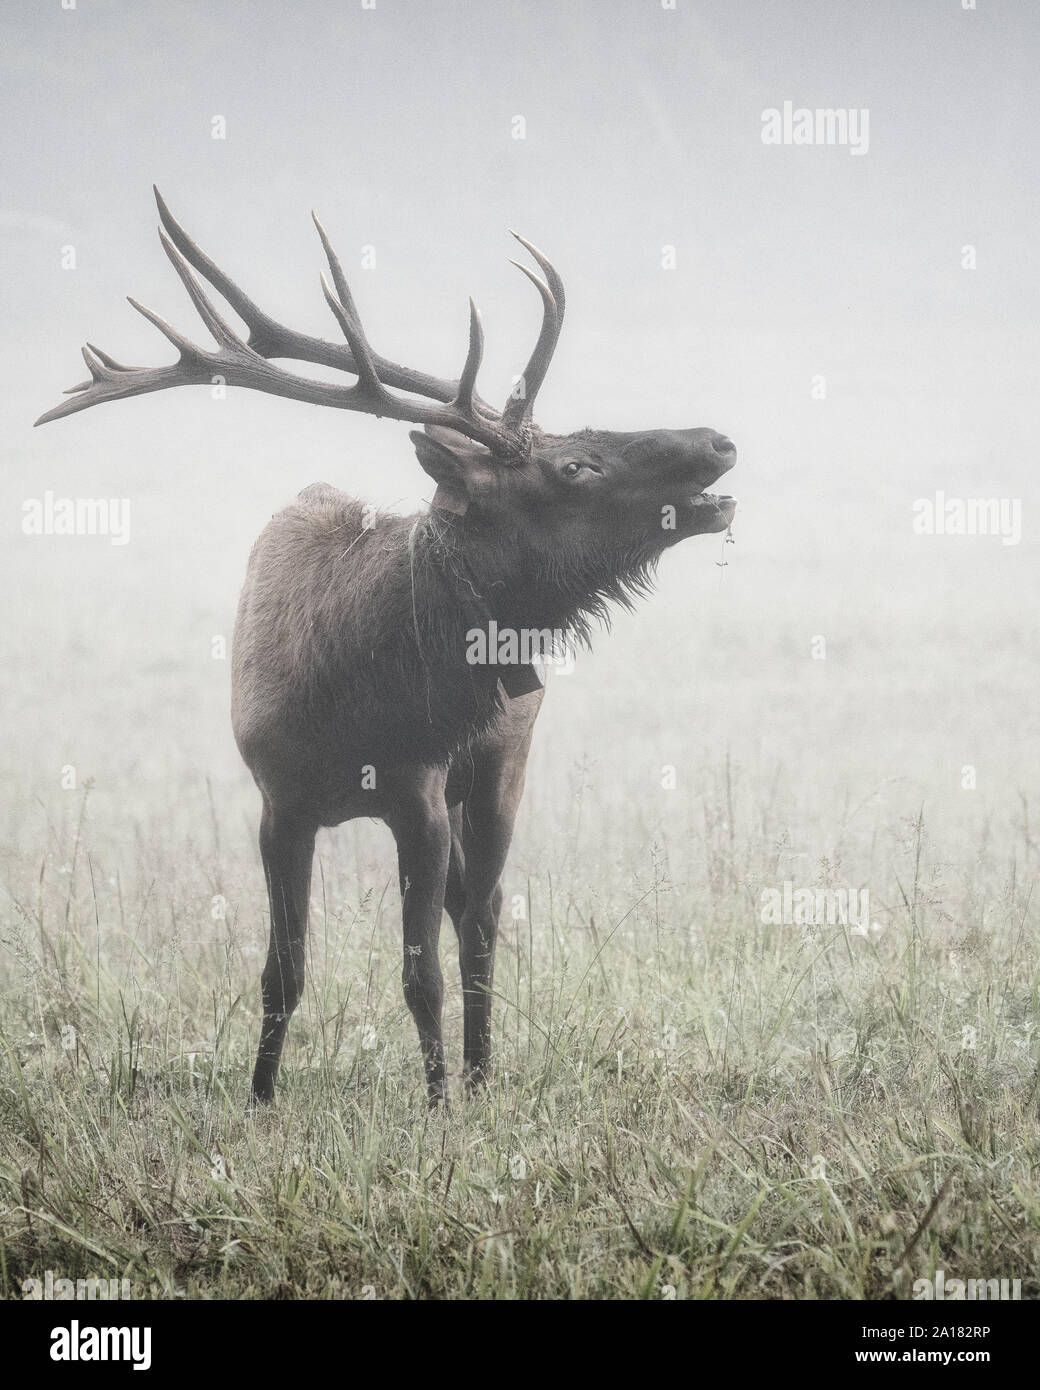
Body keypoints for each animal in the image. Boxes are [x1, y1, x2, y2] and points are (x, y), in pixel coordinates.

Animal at [36, 188, 737, 1106]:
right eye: (574, 465)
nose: (720, 442)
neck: (353, 701)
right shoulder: (279, 802)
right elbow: (282, 970)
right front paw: (260, 1096)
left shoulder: (419, 792)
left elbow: (421, 972)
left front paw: (438, 1102)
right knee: (469, 909)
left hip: (502, 762)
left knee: (483, 915)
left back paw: (478, 1075)